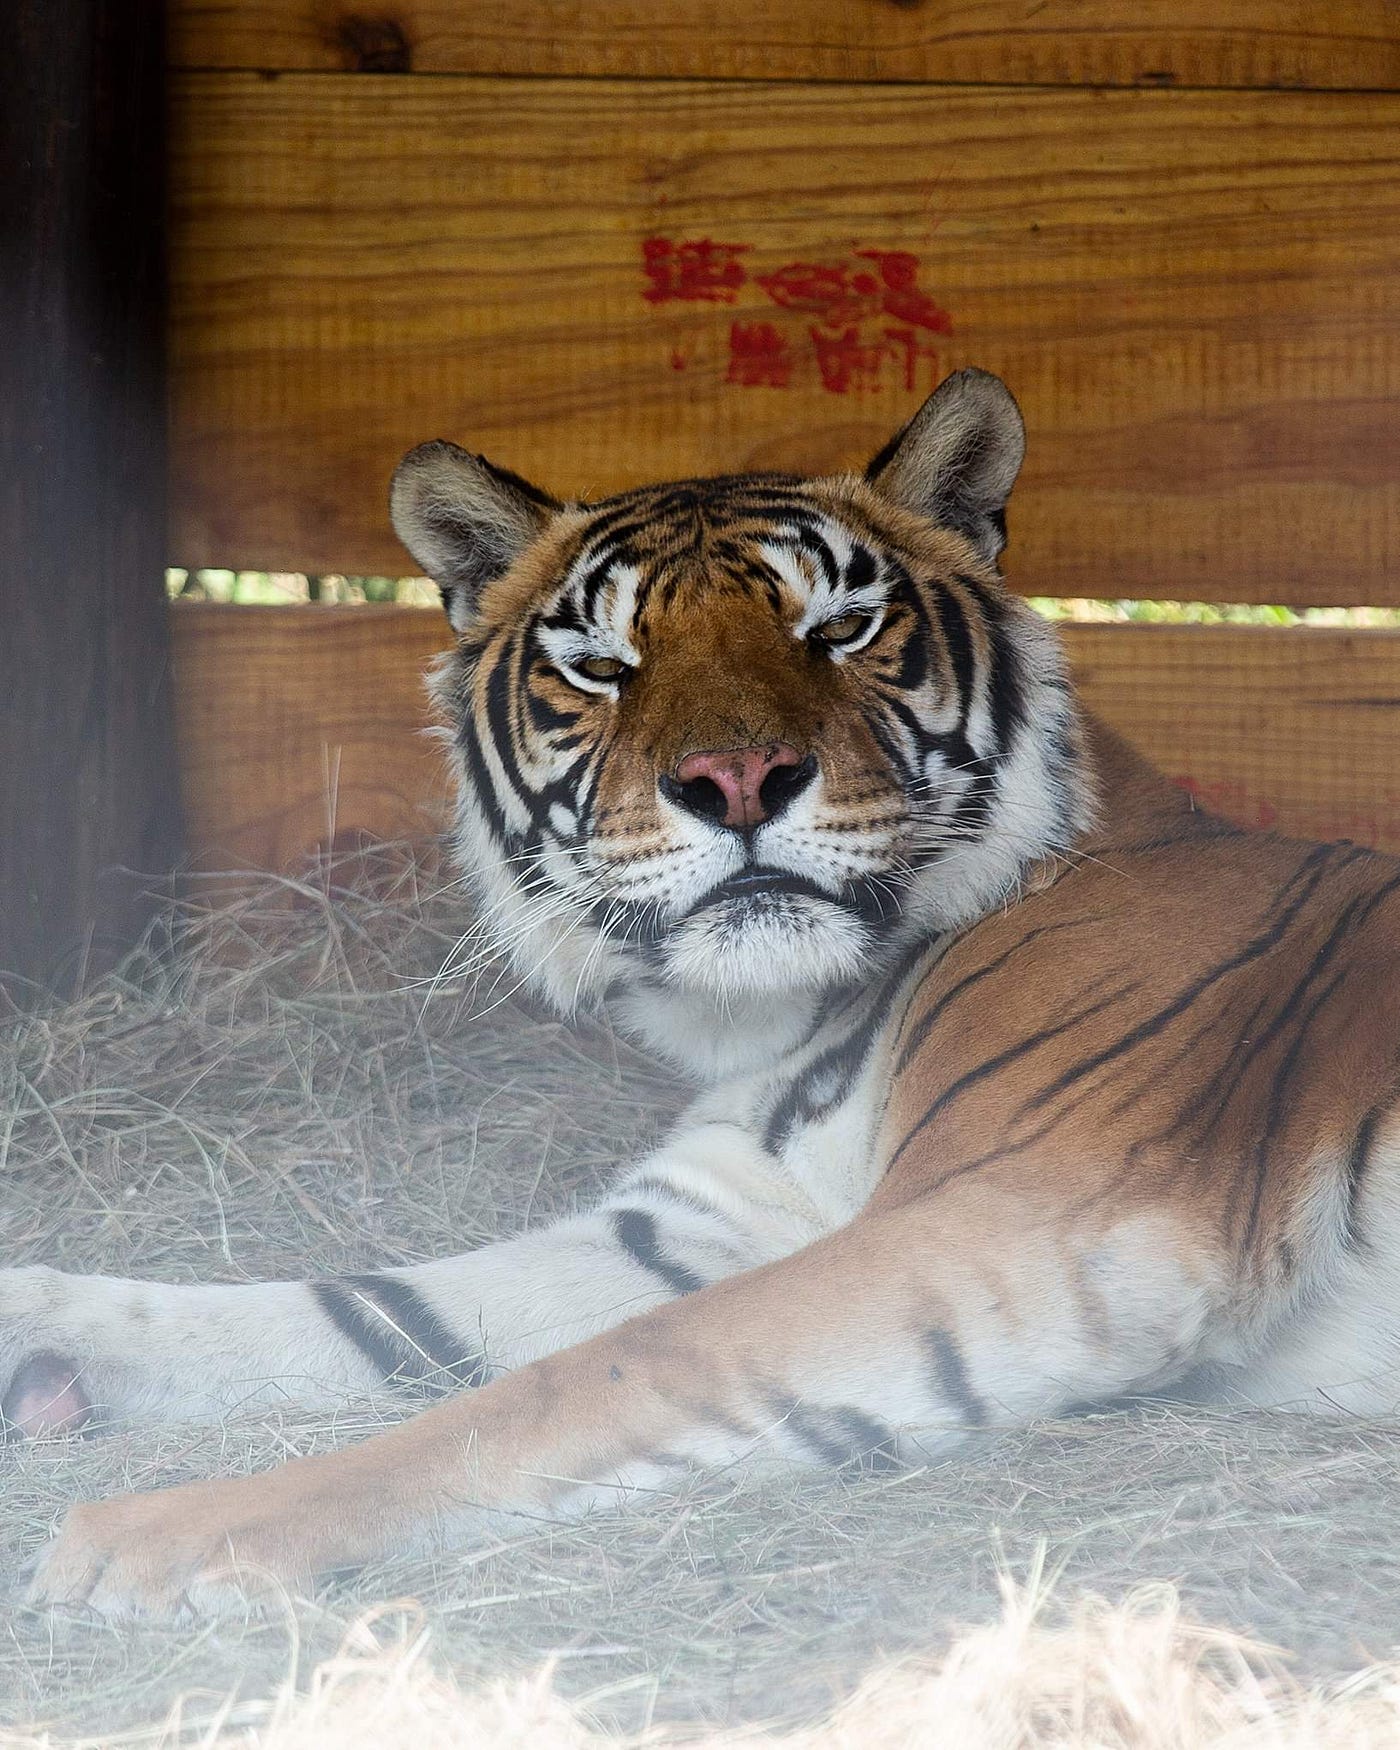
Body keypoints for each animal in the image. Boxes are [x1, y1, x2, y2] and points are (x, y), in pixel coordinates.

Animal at [10, 367, 1400, 1619]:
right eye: (601, 664)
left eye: (837, 628)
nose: (737, 777)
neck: (778, 1016)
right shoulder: (703, 1221)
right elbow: (382, 1310)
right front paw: (35, 1322)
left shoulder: (1035, 1209)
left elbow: (590, 1374)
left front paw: (159, 1533)